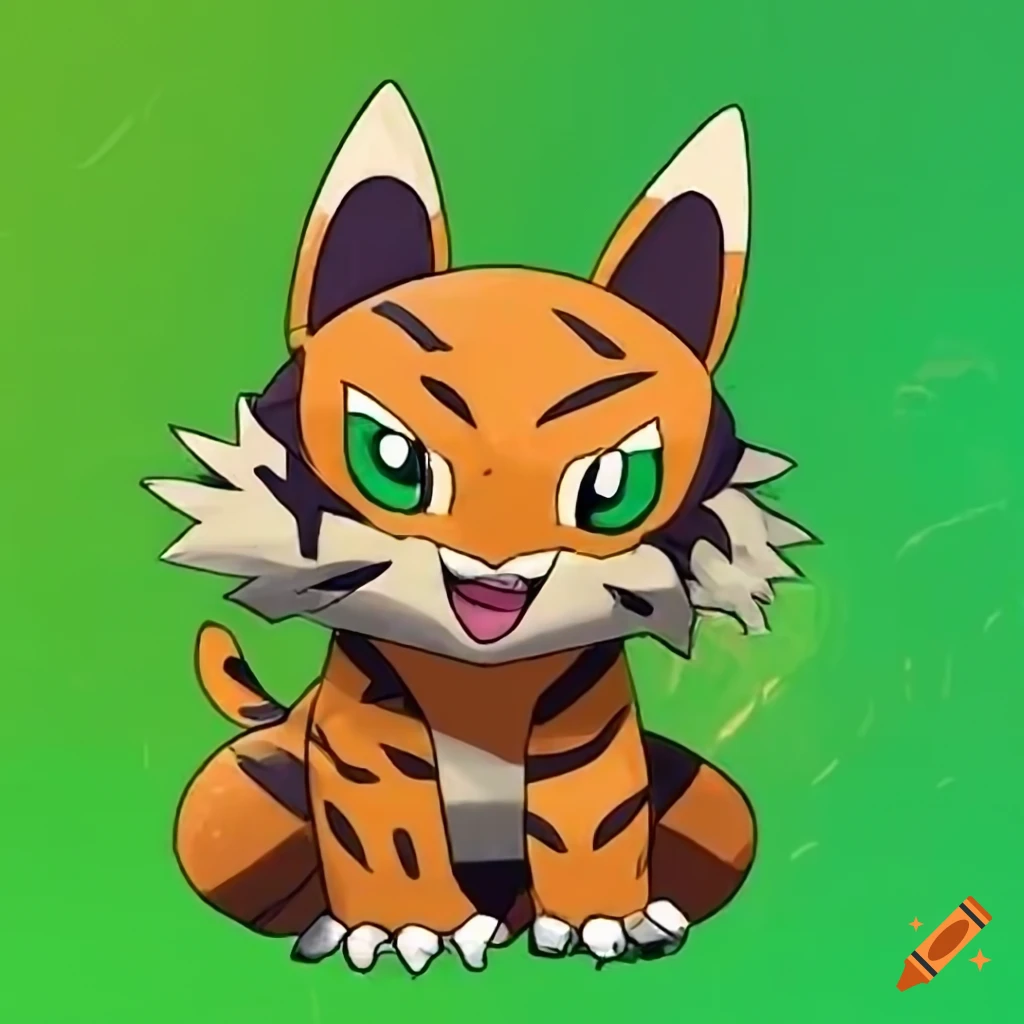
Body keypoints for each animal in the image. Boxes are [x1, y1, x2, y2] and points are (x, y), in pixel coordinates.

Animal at [145, 80, 813, 976]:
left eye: (610, 486)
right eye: (392, 458)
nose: (496, 568)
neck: (482, 684)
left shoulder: (591, 741)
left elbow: (593, 824)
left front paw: (604, 919)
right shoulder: (365, 745)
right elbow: (386, 834)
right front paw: (401, 929)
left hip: (718, 806)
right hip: (232, 802)